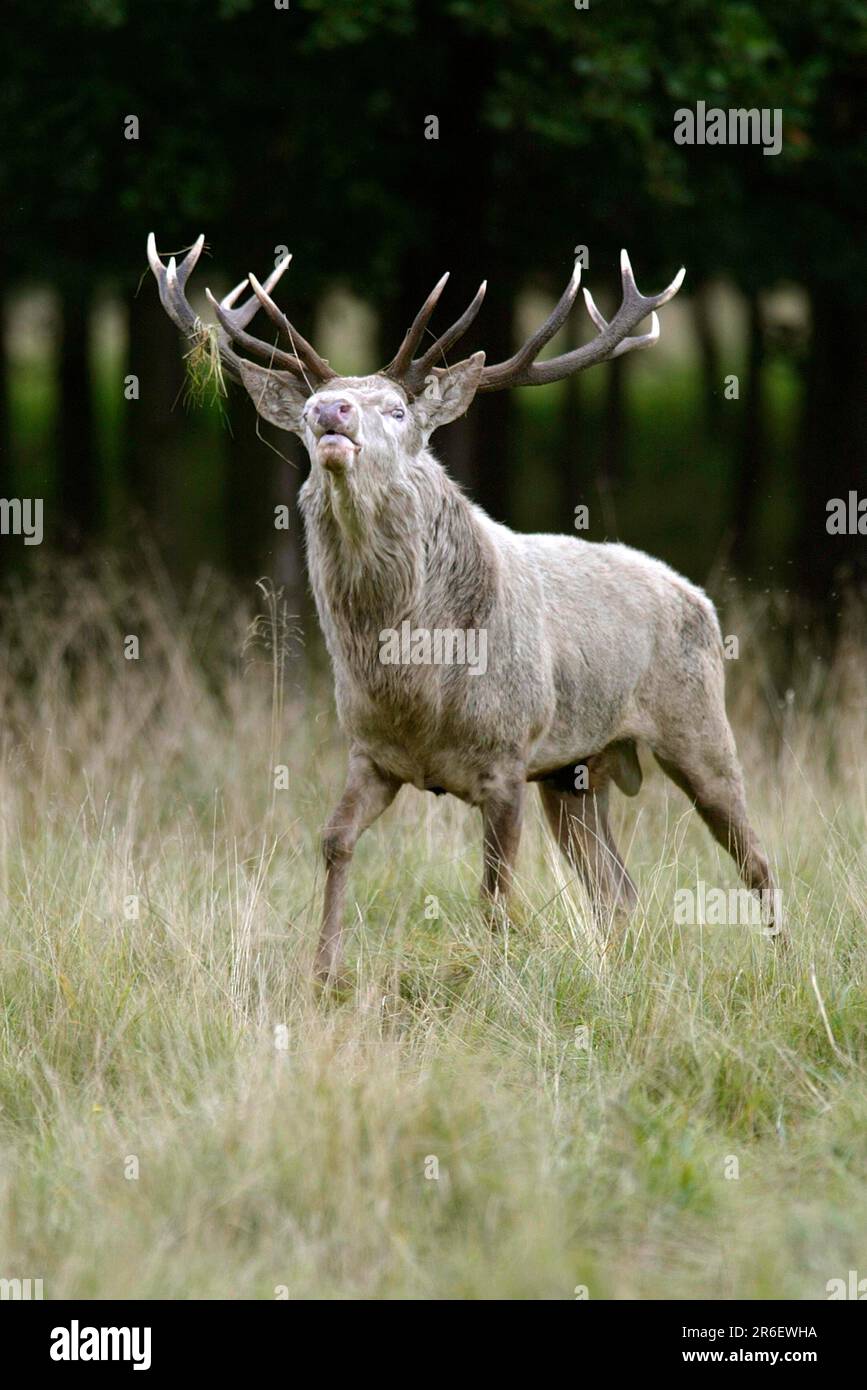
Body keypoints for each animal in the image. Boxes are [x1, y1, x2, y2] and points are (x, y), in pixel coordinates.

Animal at [147, 233, 777, 982]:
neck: (420, 692)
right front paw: (323, 973)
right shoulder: (371, 753)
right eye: (308, 410)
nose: (332, 412)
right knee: (617, 889)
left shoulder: (506, 756)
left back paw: (783, 961)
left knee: (754, 856)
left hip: (696, 724)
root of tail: (696, 595)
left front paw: (492, 977)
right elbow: (333, 841)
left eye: (395, 410)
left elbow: (495, 892)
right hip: (574, 771)